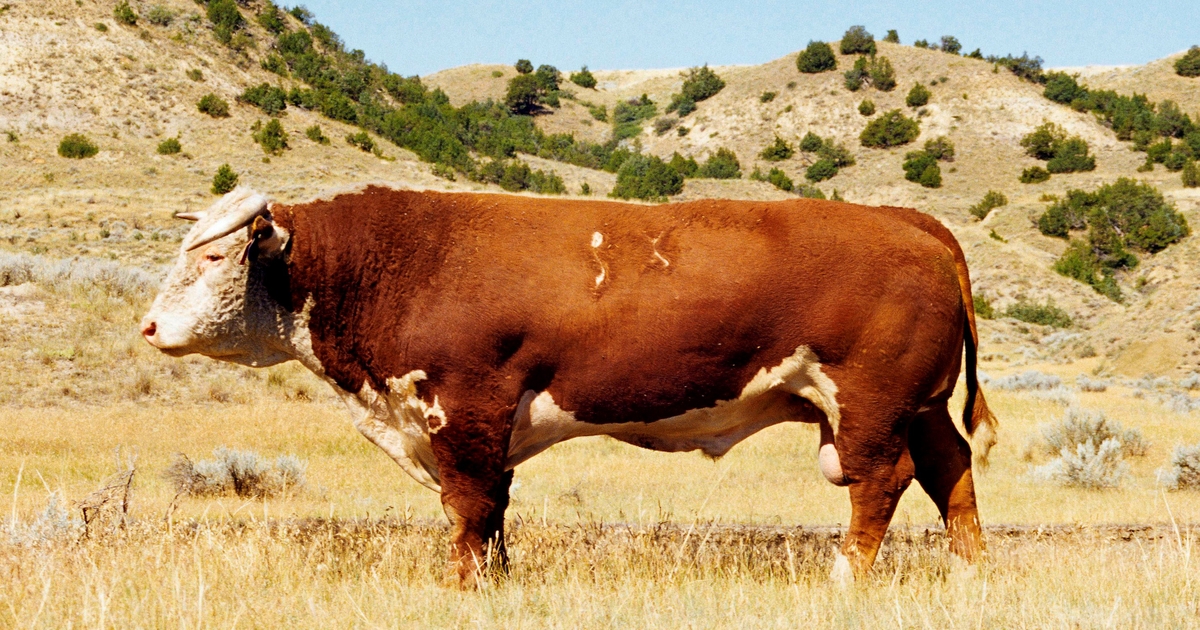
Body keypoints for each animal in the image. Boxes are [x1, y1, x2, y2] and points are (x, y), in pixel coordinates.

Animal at [141, 185, 997, 586]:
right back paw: (970, 569)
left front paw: (464, 589)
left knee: (880, 482)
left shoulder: (466, 404)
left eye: (212, 257)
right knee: (950, 471)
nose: (148, 326)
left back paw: (844, 579)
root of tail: (907, 221)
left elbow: (469, 507)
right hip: (919, 405)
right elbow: (492, 511)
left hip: (872, 402)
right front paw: (497, 580)